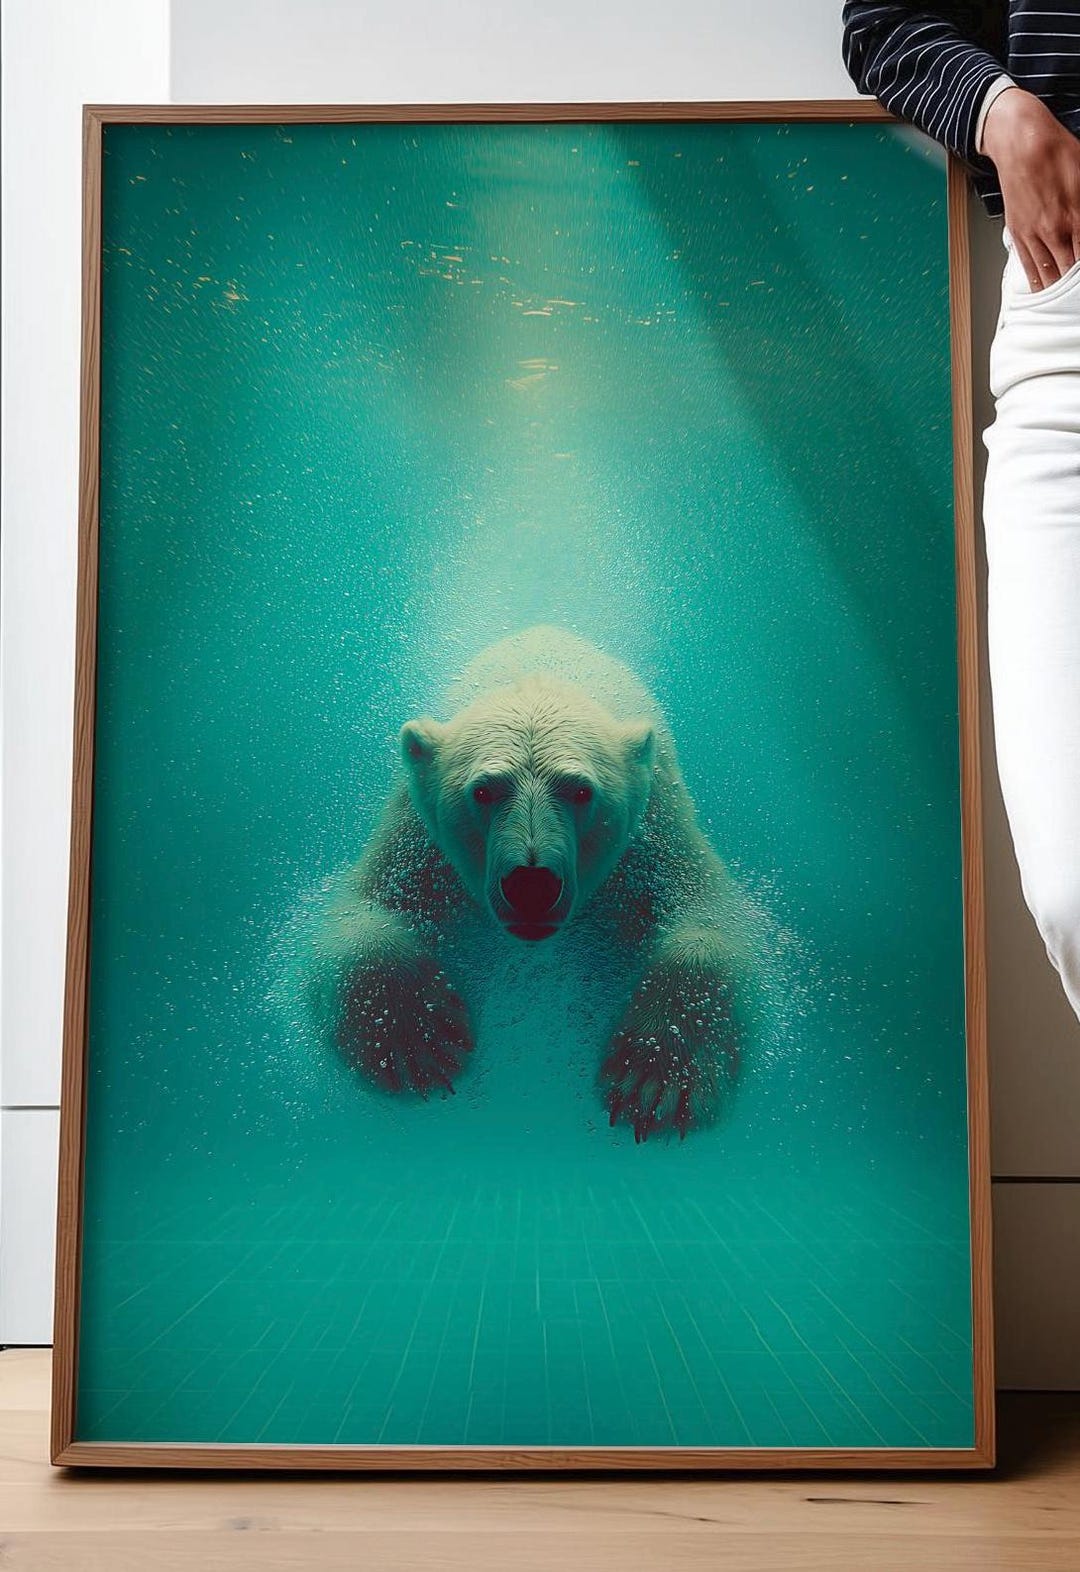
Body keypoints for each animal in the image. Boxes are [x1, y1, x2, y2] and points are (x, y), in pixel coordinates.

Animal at [305, 626, 761, 1142]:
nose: (531, 886)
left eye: (581, 789)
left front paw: (657, 1080)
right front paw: (415, 1042)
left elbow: (711, 917)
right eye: (483, 790)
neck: (540, 675)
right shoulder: (418, 838)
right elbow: (361, 909)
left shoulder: (654, 827)